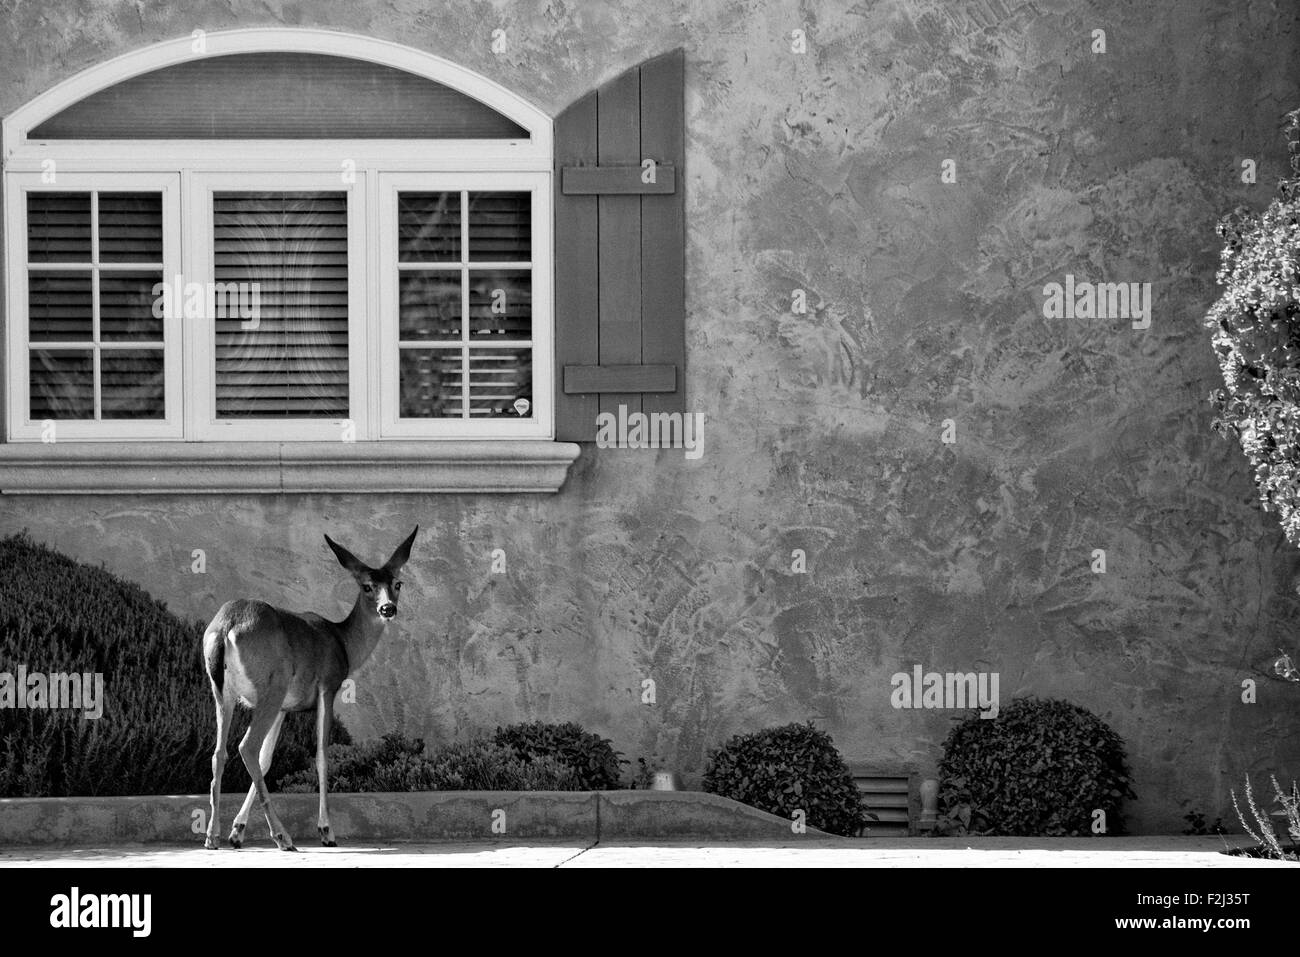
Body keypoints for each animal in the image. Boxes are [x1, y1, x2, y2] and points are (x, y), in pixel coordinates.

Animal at [201, 527, 418, 851]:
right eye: (367, 586)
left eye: (397, 583)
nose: (388, 608)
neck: (343, 643)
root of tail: (226, 626)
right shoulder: (327, 686)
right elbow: (321, 756)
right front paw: (326, 830)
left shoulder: (284, 709)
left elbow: (267, 760)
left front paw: (237, 830)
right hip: (272, 685)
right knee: (246, 746)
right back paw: (282, 837)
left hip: (223, 693)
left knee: (220, 753)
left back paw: (213, 836)